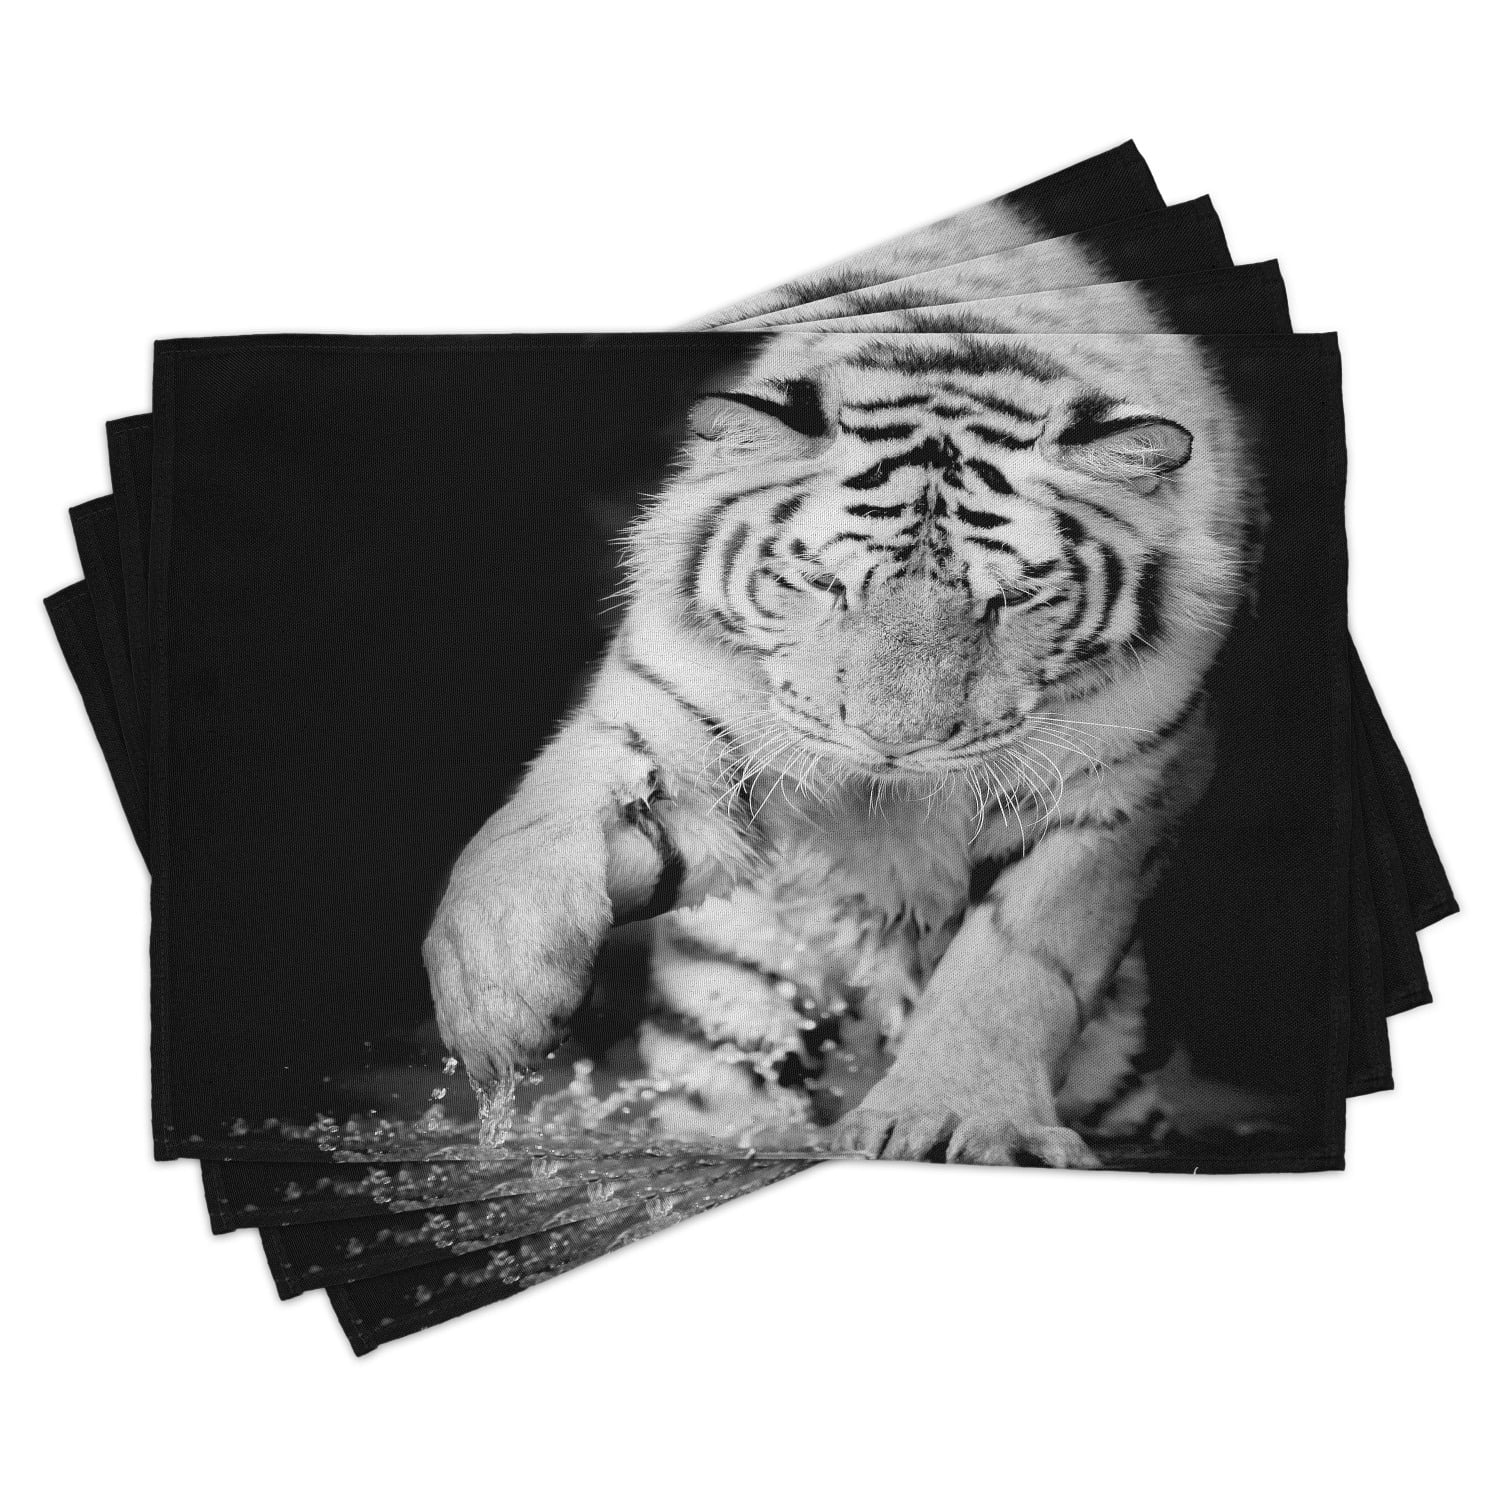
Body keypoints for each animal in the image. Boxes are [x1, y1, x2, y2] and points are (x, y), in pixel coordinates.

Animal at [422, 329, 1256, 1167]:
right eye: (826, 584)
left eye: (1010, 600)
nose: (892, 742)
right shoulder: (678, 725)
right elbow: (533, 832)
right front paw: (496, 1009)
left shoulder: (1116, 786)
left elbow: (1013, 967)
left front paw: (951, 1115)